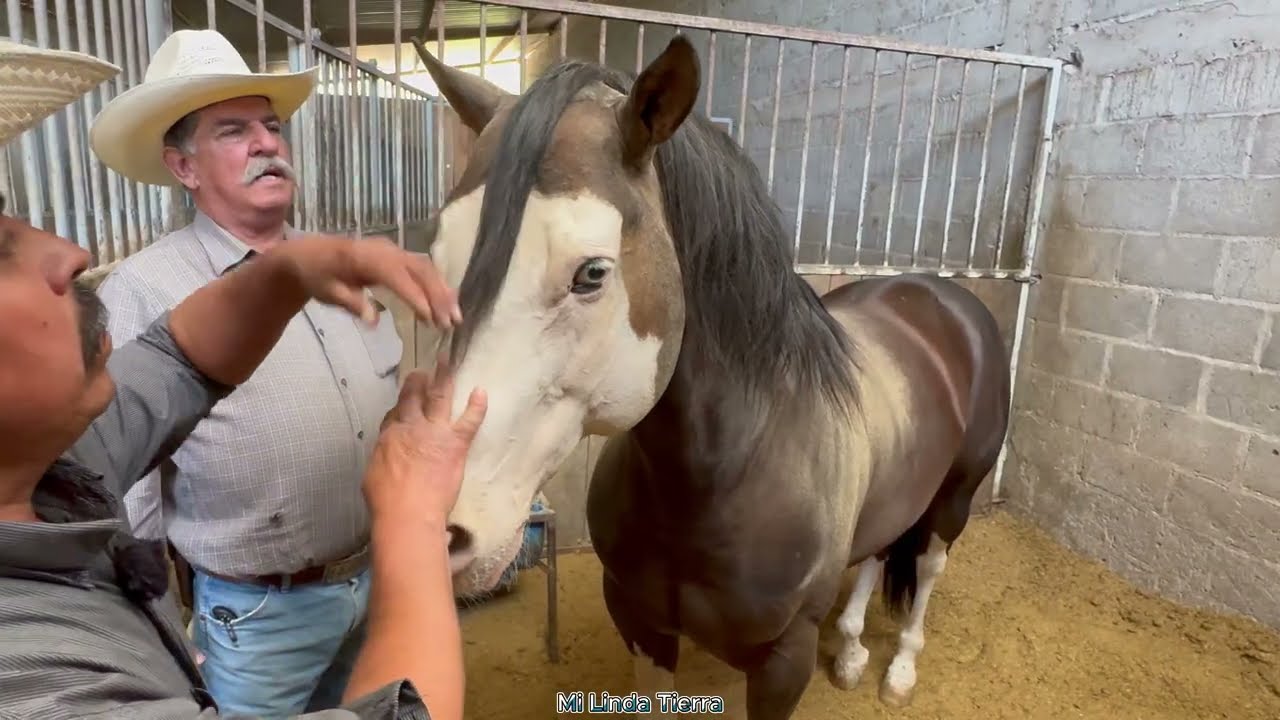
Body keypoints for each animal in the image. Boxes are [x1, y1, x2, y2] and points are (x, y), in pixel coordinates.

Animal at [415, 35, 1010, 720]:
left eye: (592, 273)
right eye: (437, 259)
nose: (434, 526)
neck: (731, 468)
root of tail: (944, 298)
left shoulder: (784, 662)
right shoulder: (642, 625)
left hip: (956, 498)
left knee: (929, 567)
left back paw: (900, 667)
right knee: (879, 553)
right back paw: (852, 650)